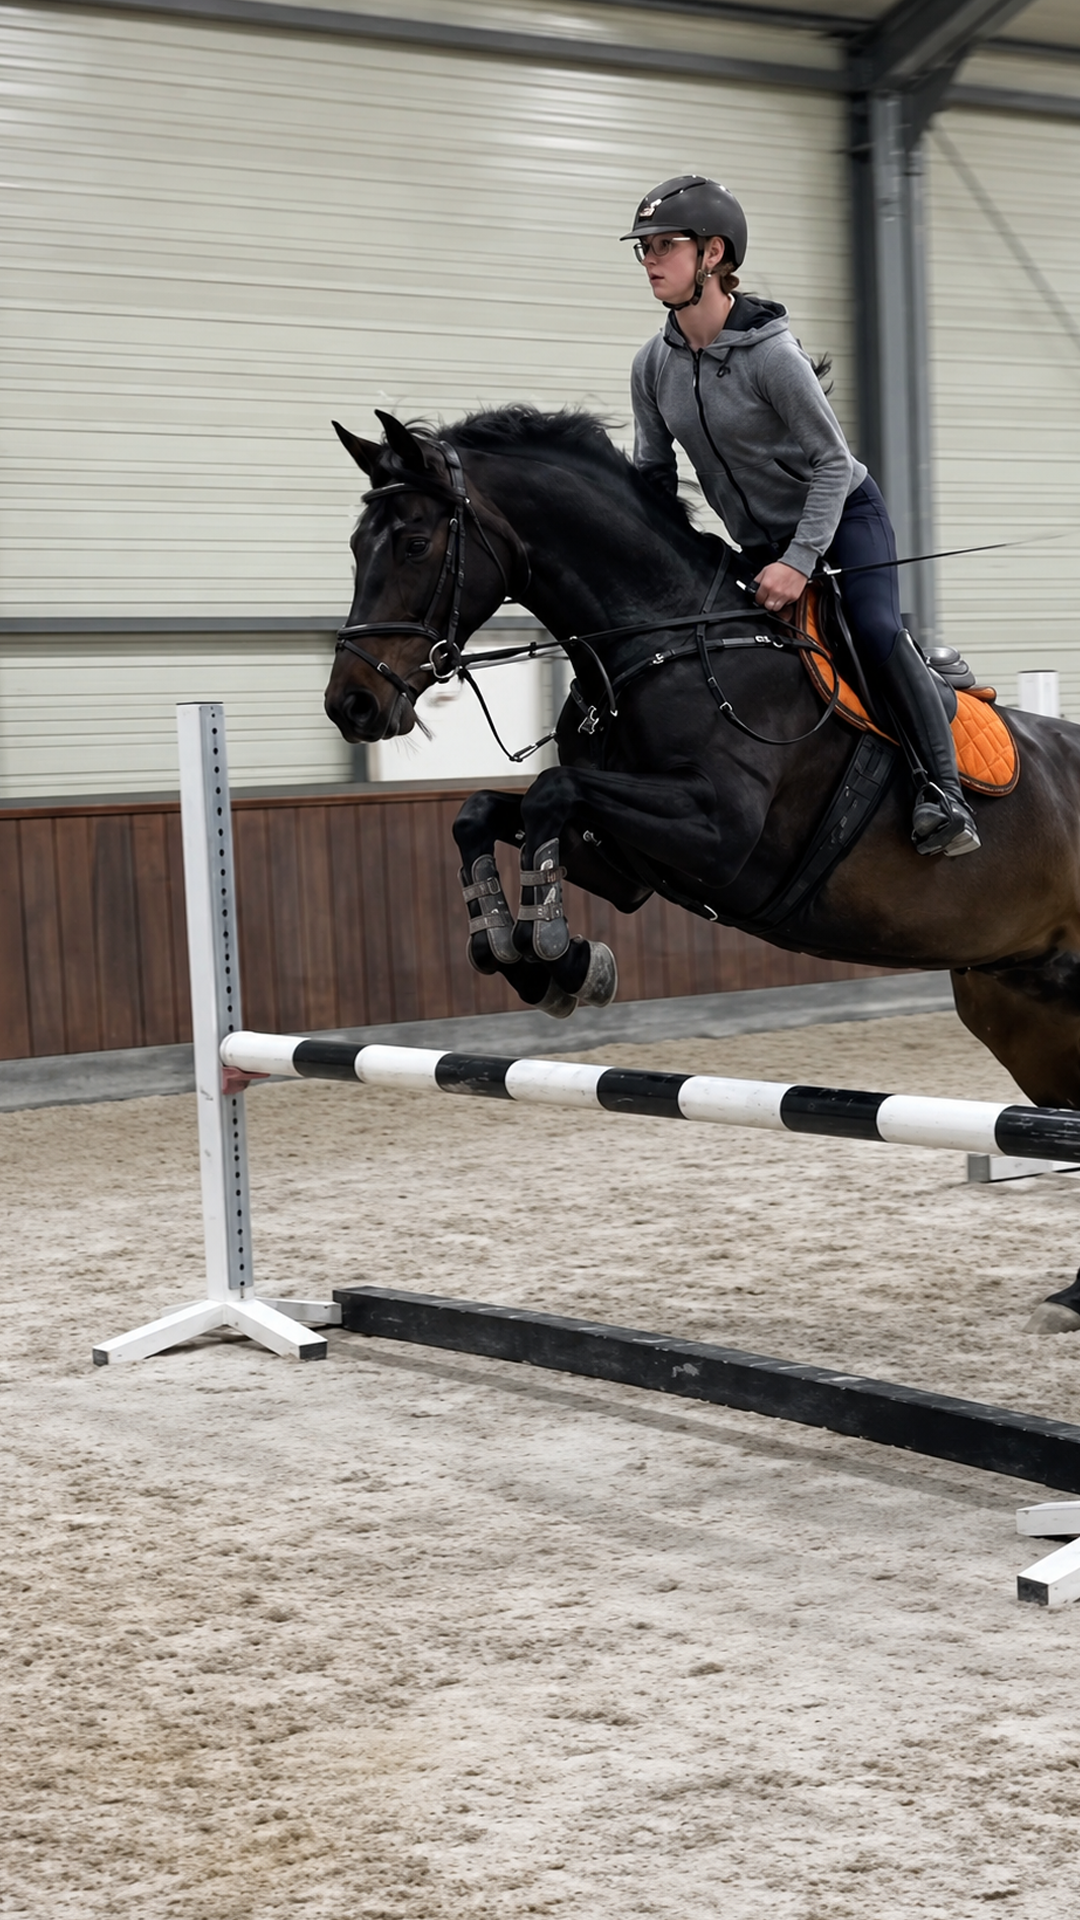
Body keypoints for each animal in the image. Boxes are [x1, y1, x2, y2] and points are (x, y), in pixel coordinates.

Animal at [324, 407, 1080, 1145]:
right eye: (356, 546)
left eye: (415, 544)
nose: (350, 704)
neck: (663, 640)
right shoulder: (622, 863)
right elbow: (481, 811)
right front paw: (523, 953)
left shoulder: (718, 835)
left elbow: (549, 793)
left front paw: (554, 952)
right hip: (1024, 1008)